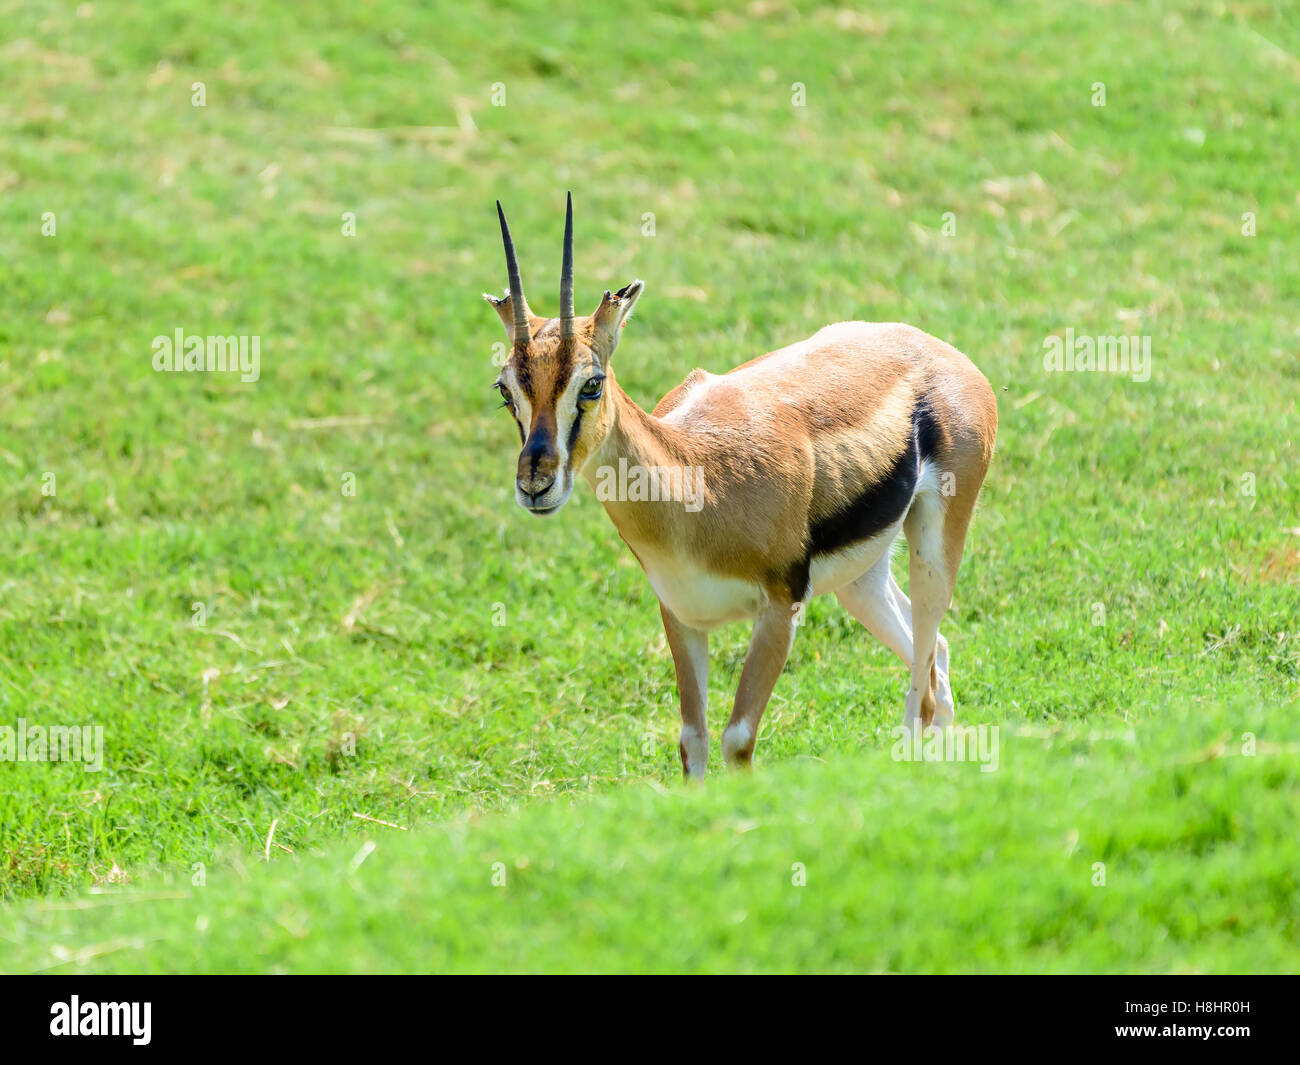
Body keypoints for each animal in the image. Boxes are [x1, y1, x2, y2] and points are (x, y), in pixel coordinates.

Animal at [488, 195, 997, 778]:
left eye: (590, 384)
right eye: (505, 389)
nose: (536, 483)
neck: (695, 478)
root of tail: (939, 350)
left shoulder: (779, 608)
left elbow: (737, 740)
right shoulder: (682, 615)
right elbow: (693, 740)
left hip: (934, 551)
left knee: (926, 684)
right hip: (861, 579)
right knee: (936, 654)